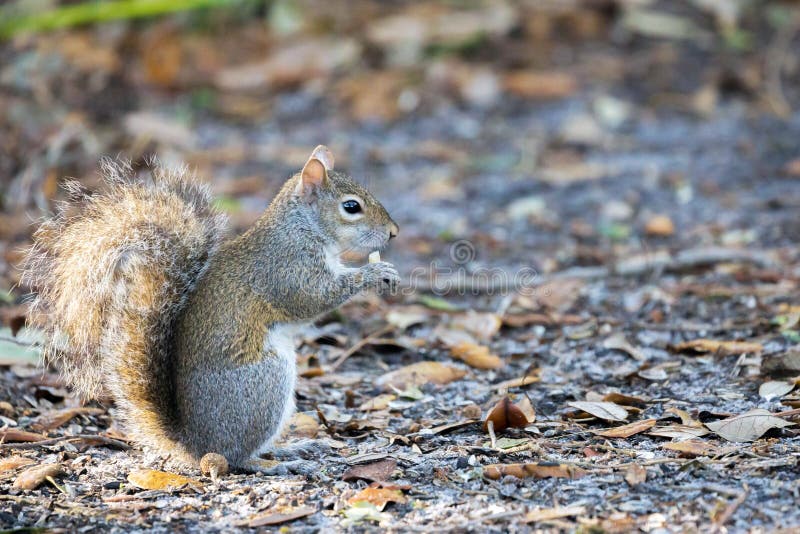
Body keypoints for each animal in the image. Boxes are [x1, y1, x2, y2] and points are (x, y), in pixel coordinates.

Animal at [22, 145, 400, 472]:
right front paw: (374, 273)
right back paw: (276, 464)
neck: (302, 228)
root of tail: (194, 443)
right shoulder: (285, 268)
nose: (394, 232)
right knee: (235, 457)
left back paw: (293, 448)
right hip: (264, 385)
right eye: (351, 207)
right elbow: (313, 297)